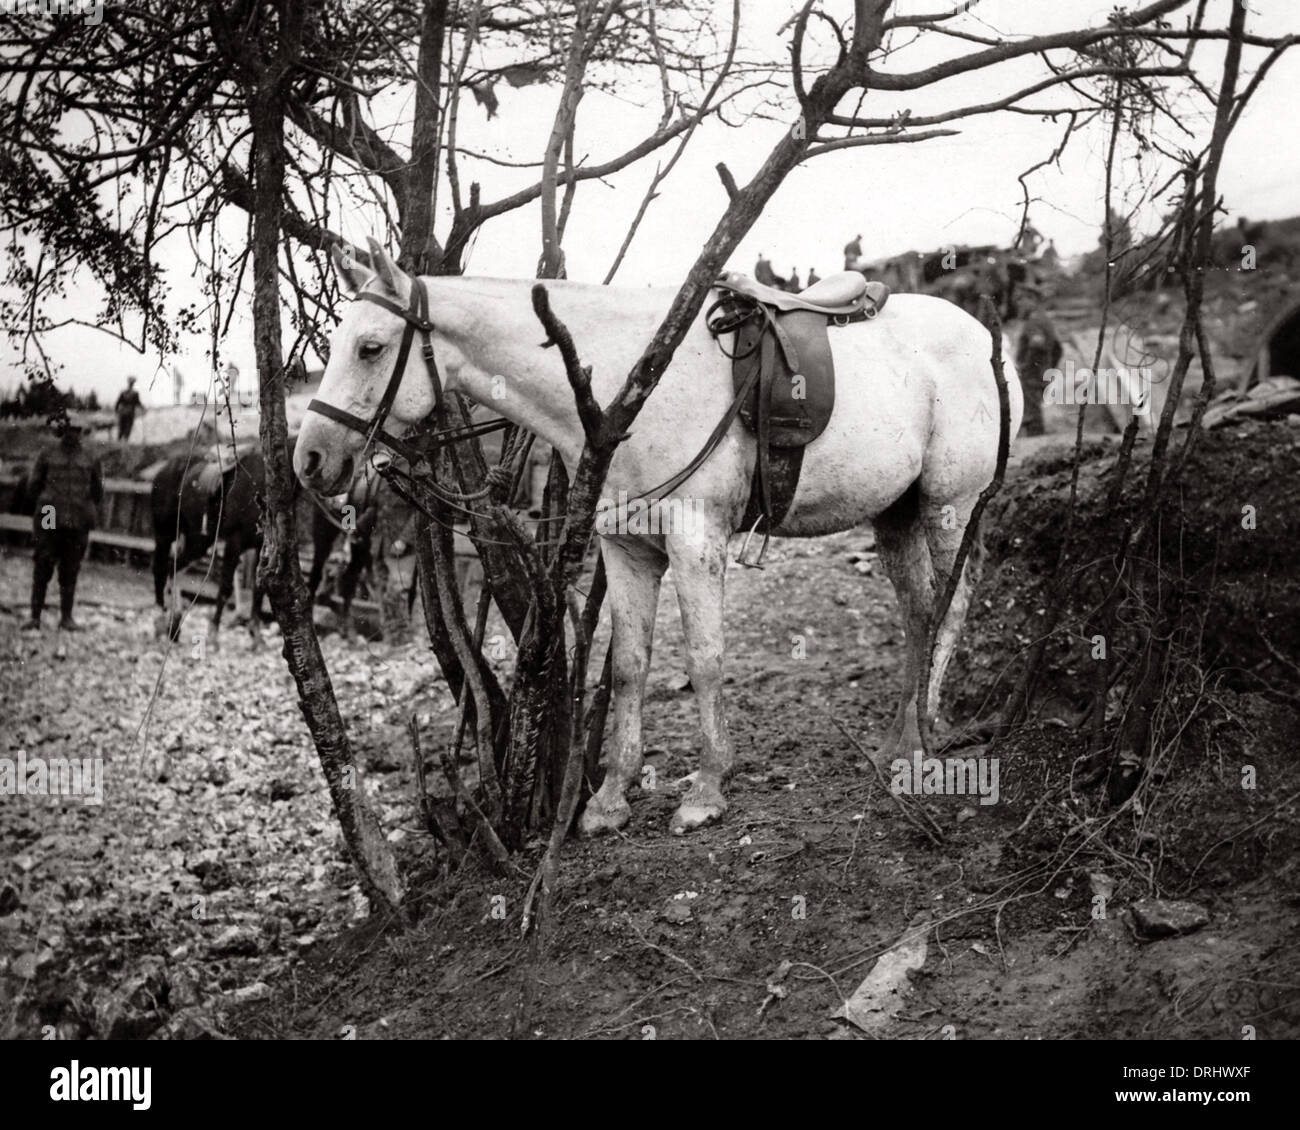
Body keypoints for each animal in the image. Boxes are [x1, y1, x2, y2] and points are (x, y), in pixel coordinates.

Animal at [294, 239, 1023, 836]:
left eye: (370, 347)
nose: (310, 460)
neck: (622, 394)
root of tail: (991, 344)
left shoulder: (695, 542)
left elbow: (703, 658)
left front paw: (706, 789)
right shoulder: (627, 551)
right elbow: (628, 667)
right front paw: (610, 798)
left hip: (951, 507)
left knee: (950, 605)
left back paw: (924, 735)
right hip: (896, 513)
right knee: (919, 611)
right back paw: (899, 740)